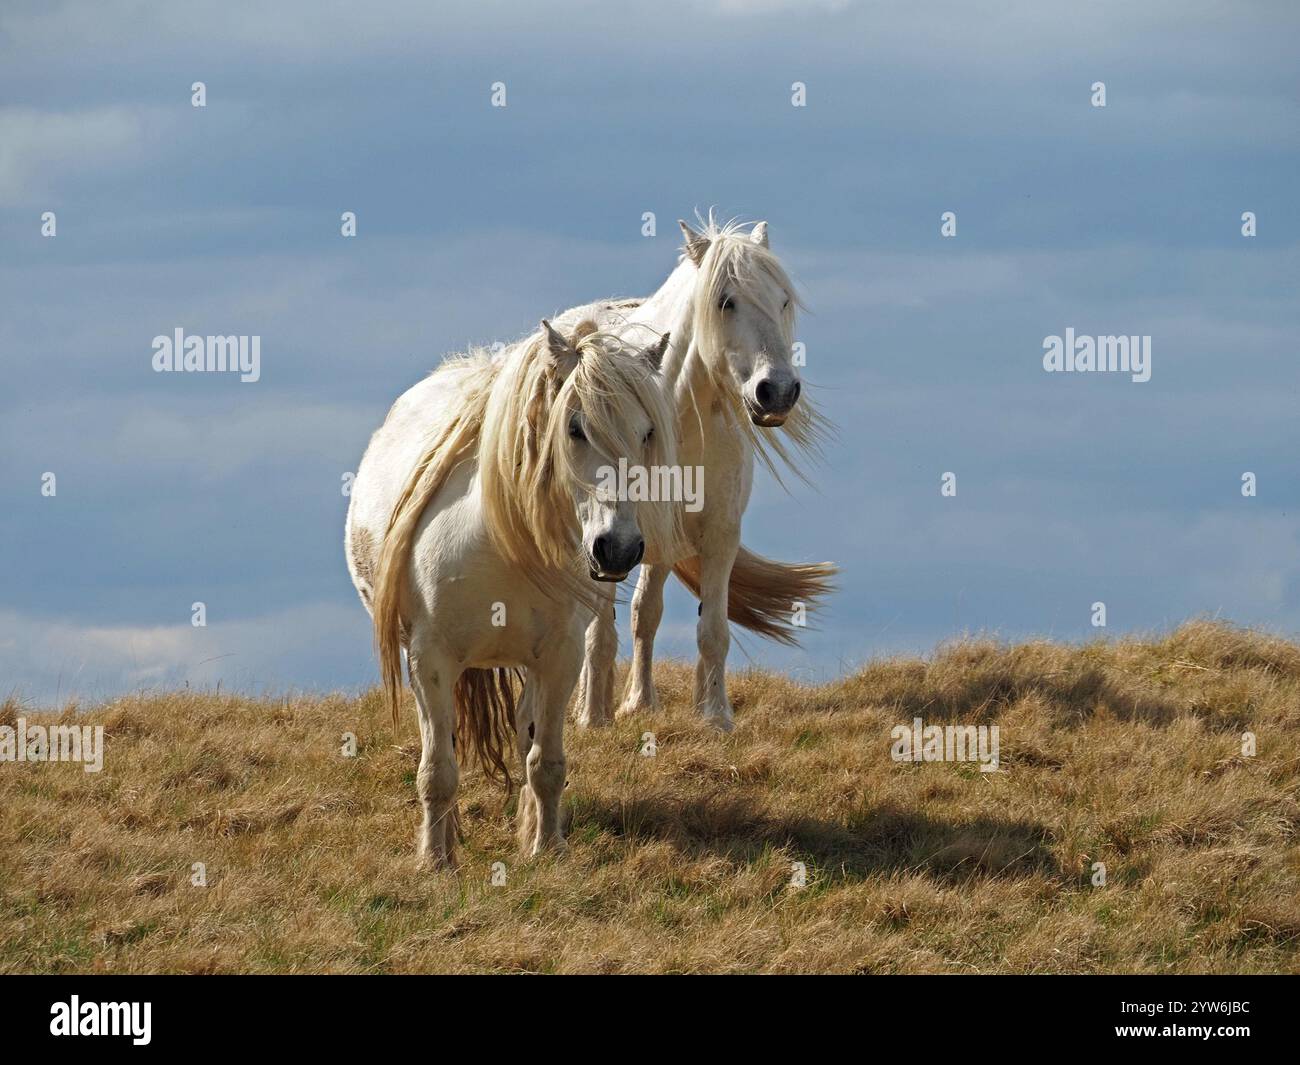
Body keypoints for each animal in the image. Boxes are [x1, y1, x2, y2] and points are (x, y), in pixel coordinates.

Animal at [345, 320, 677, 867]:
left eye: (647, 431)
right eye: (574, 428)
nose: (618, 549)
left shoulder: (560, 658)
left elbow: (546, 762)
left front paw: (548, 850)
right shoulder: (429, 660)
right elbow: (438, 770)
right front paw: (435, 862)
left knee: (526, 737)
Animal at [553, 216, 836, 731]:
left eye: (783, 300)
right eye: (725, 301)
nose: (778, 391)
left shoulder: (718, 535)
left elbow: (711, 629)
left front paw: (715, 717)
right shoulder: (605, 538)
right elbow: (599, 631)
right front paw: (592, 718)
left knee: (646, 611)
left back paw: (641, 702)